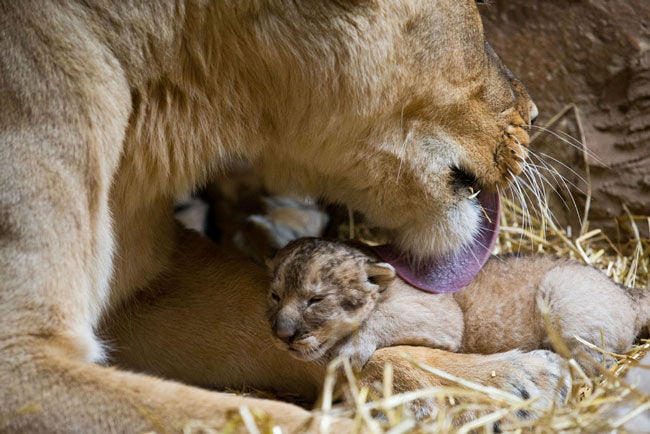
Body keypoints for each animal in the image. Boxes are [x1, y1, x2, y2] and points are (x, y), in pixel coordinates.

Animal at [0, 0, 603, 431]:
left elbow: (327, 333)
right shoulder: (21, 365)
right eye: (477, 19)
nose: (536, 114)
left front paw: (507, 380)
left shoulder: (151, 283)